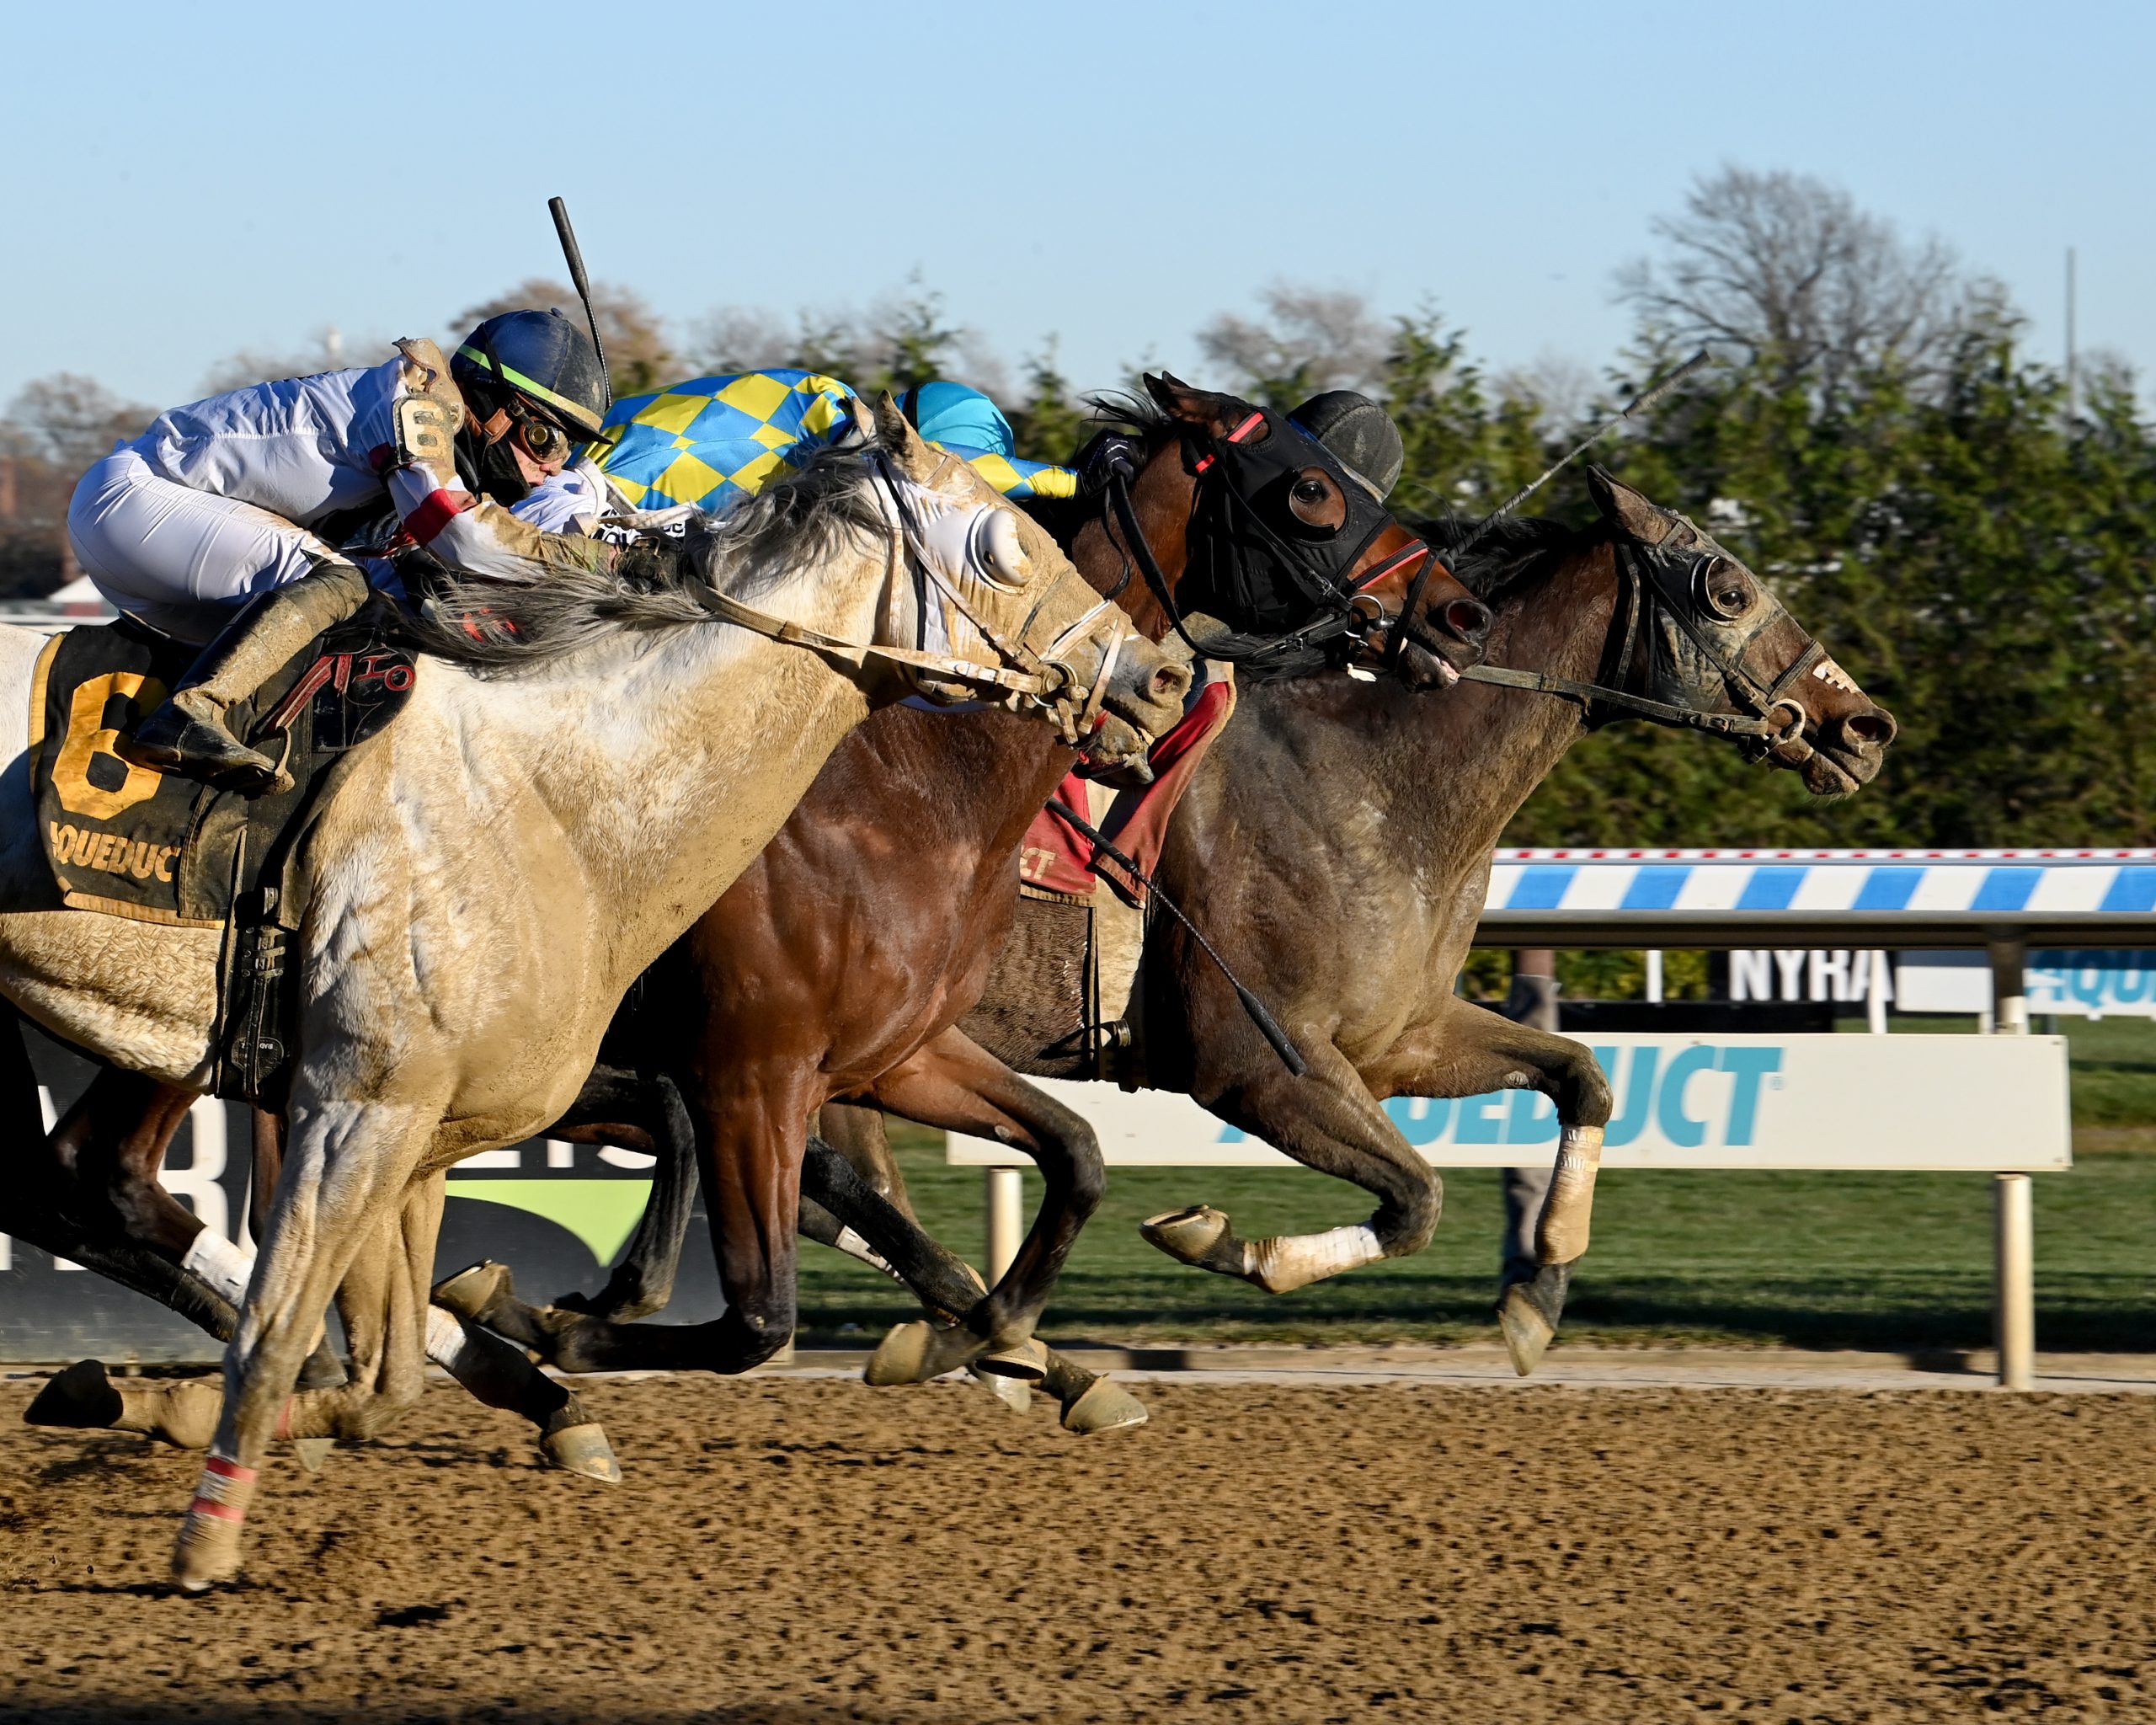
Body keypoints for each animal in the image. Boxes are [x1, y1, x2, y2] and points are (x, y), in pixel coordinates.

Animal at [0, 403, 1193, 1590]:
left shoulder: (450, 1121)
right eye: (1001, 546)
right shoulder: (409, 1099)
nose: (1165, 679)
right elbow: (752, 1299)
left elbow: (386, 1367)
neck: (553, 797)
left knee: (85, 1180)